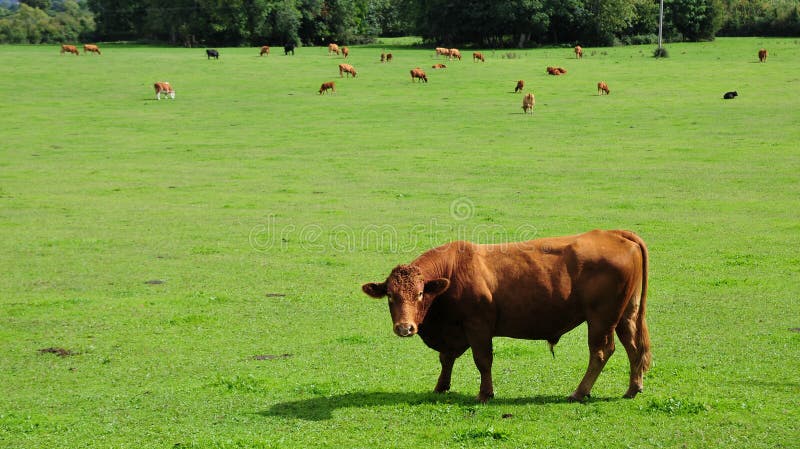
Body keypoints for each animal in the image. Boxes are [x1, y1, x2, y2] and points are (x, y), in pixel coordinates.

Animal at [362, 230, 651, 403]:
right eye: (390, 296)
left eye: (421, 293)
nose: (405, 328)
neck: (453, 272)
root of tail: (614, 233)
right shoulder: (453, 331)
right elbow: (446, 358)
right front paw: (441, 386)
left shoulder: (477, 326)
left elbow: (482, 361)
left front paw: (485, 393)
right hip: (626, 314)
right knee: (634, 347)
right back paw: (633, 388)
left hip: (601, 318)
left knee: (601, 352)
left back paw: (579, 392)